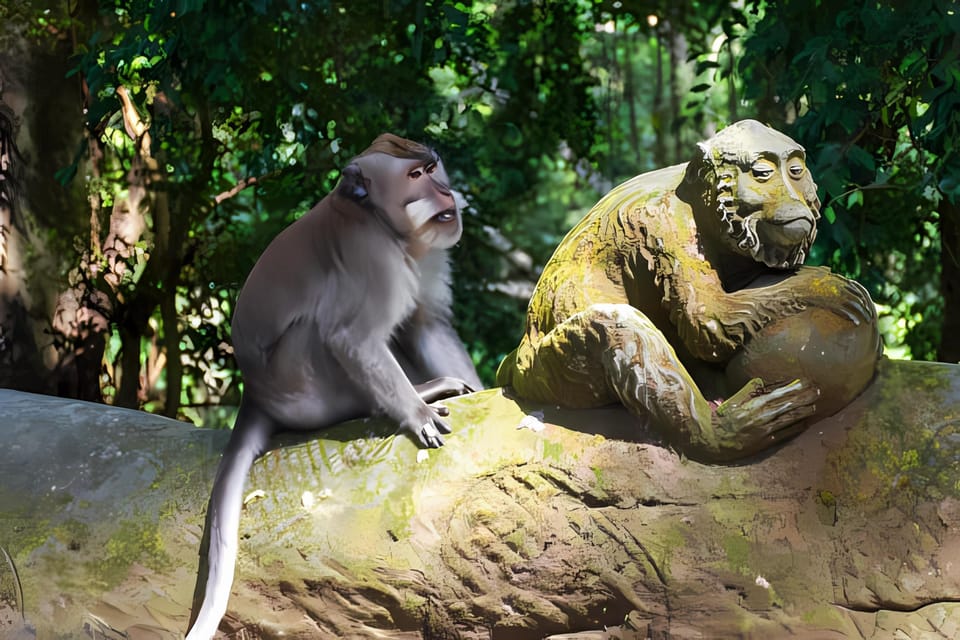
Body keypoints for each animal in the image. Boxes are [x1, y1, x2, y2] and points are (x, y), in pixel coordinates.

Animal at [185, 134, 482, 639]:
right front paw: (417, 413)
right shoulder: (371, 258)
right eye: (415, 176)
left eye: (432, 167)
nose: (445, 193)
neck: (384, 225)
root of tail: (254, 394)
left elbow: (426, 325)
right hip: (304, 386)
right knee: (325, 329)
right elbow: (351, 336)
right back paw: (411, 396)